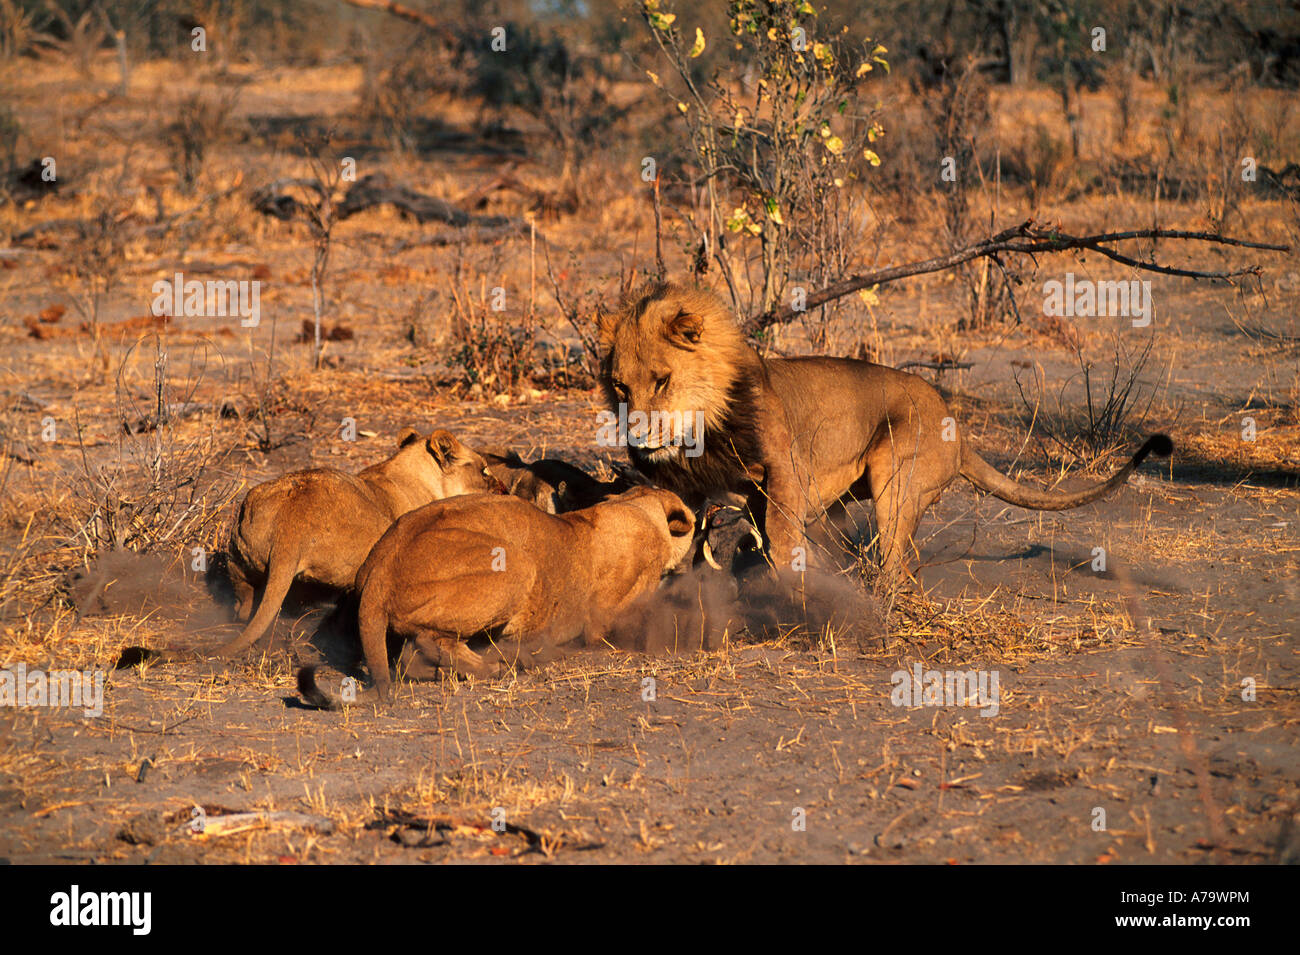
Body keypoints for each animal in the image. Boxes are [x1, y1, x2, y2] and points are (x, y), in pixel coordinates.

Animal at [117, 428, 500, 668]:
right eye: (483, 470)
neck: (408, 470)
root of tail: (293, 520)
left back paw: (241, 610)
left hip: (241, 536)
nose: (500, 487)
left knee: (240, 581)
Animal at [597, 281, 1172, 580]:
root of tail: (956, 423)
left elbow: (781, 532)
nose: (637, 439)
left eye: (662, 380)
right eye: (620, 387)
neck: (702, 432)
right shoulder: (692, 491)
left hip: (896, 475)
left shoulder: (786, 469)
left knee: (897, 558)